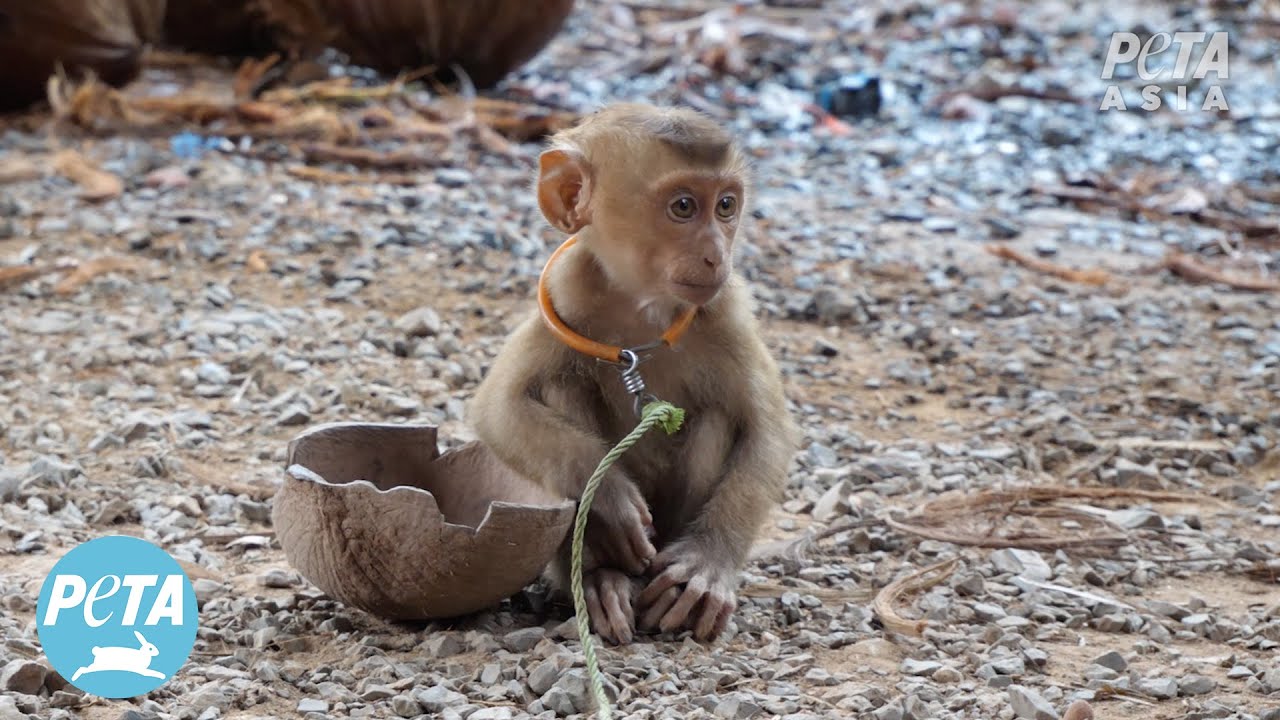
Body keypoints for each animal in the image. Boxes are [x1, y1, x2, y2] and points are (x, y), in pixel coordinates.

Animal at [469, 103, 798, 644]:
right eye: (683, 207)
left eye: (726, 206)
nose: (716, 254)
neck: (642, 308)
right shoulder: (564, 299)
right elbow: (500, 408)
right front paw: (608, 494)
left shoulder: (728, 312)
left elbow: (767, 431)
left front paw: (707, 563)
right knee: (560, 385)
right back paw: (603, 579)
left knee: (720, 415)